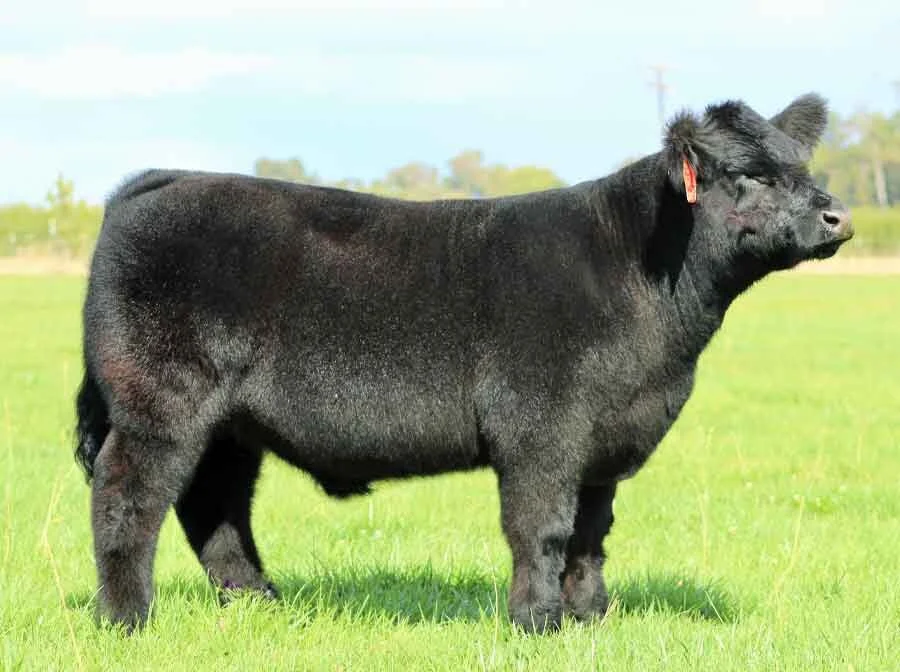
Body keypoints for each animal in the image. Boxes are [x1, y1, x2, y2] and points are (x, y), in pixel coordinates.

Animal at [75, 93, 852, 633]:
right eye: (748, 175)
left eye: (802, 168)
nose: (837, 216)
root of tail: (158, 181)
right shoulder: (541, 428)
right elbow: (543, 526)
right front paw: (536, 623)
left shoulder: (606, 439)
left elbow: (591, 535)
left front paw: (590, 619)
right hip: (160, 401)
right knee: (128, 498)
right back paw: (127, 619)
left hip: (230, 425)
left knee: (215, 506)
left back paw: (262, 603)